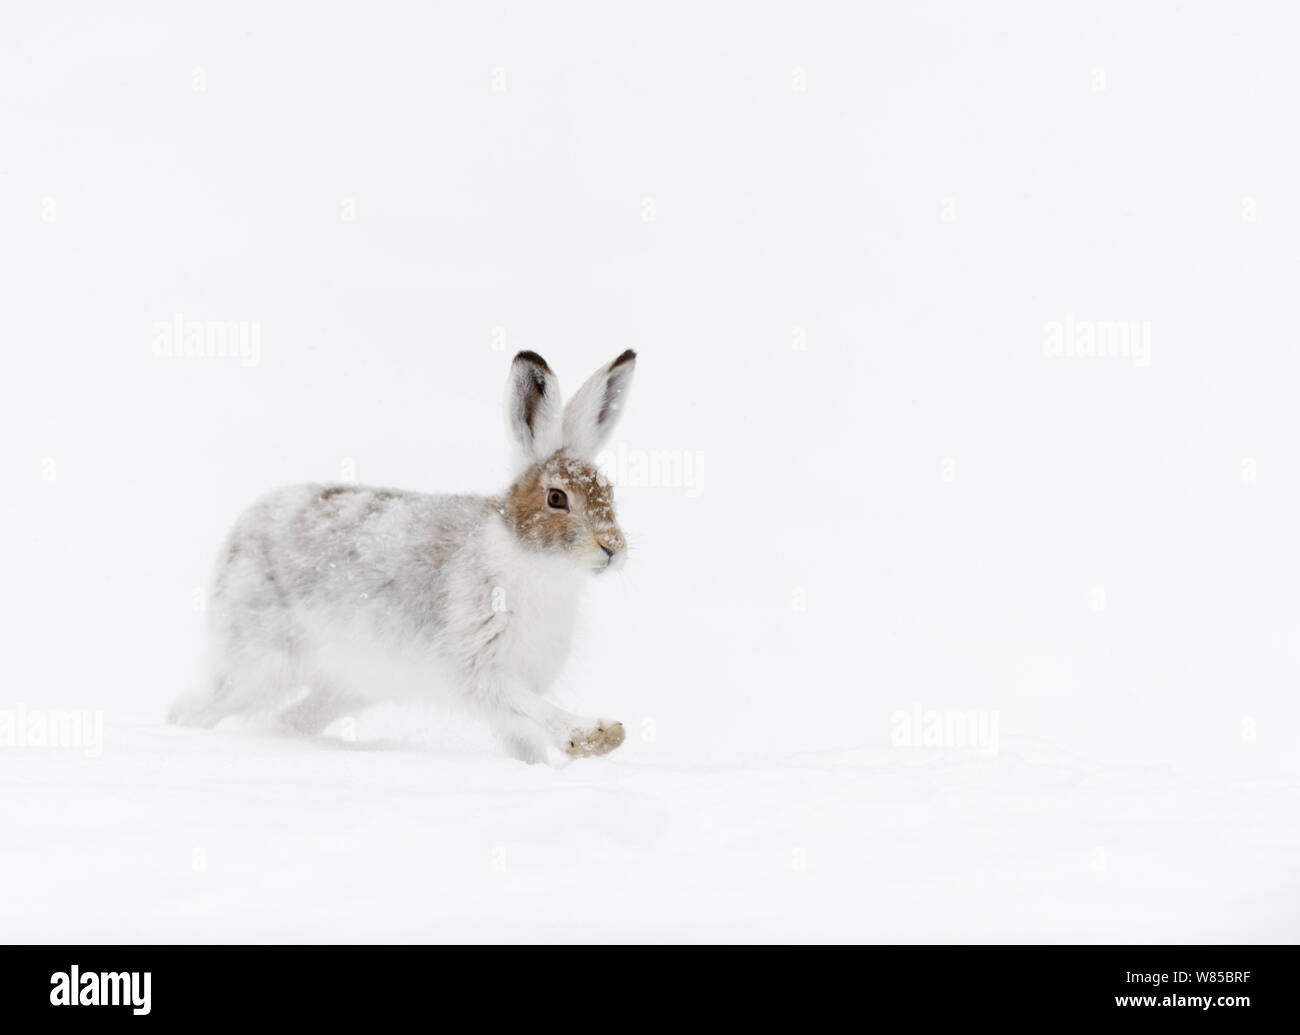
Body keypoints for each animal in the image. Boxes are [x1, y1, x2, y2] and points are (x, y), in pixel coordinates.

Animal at [168, 350, 637, 762]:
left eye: (608, 492)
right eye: (556, 498)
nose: (613, 548)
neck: (536, 565)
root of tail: (241, 532)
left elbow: (525, 740)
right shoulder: (480, 668)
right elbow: (531, 708)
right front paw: (597, 734)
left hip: (346, 686)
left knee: (285, 719)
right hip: (260, 666)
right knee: (198, 708)